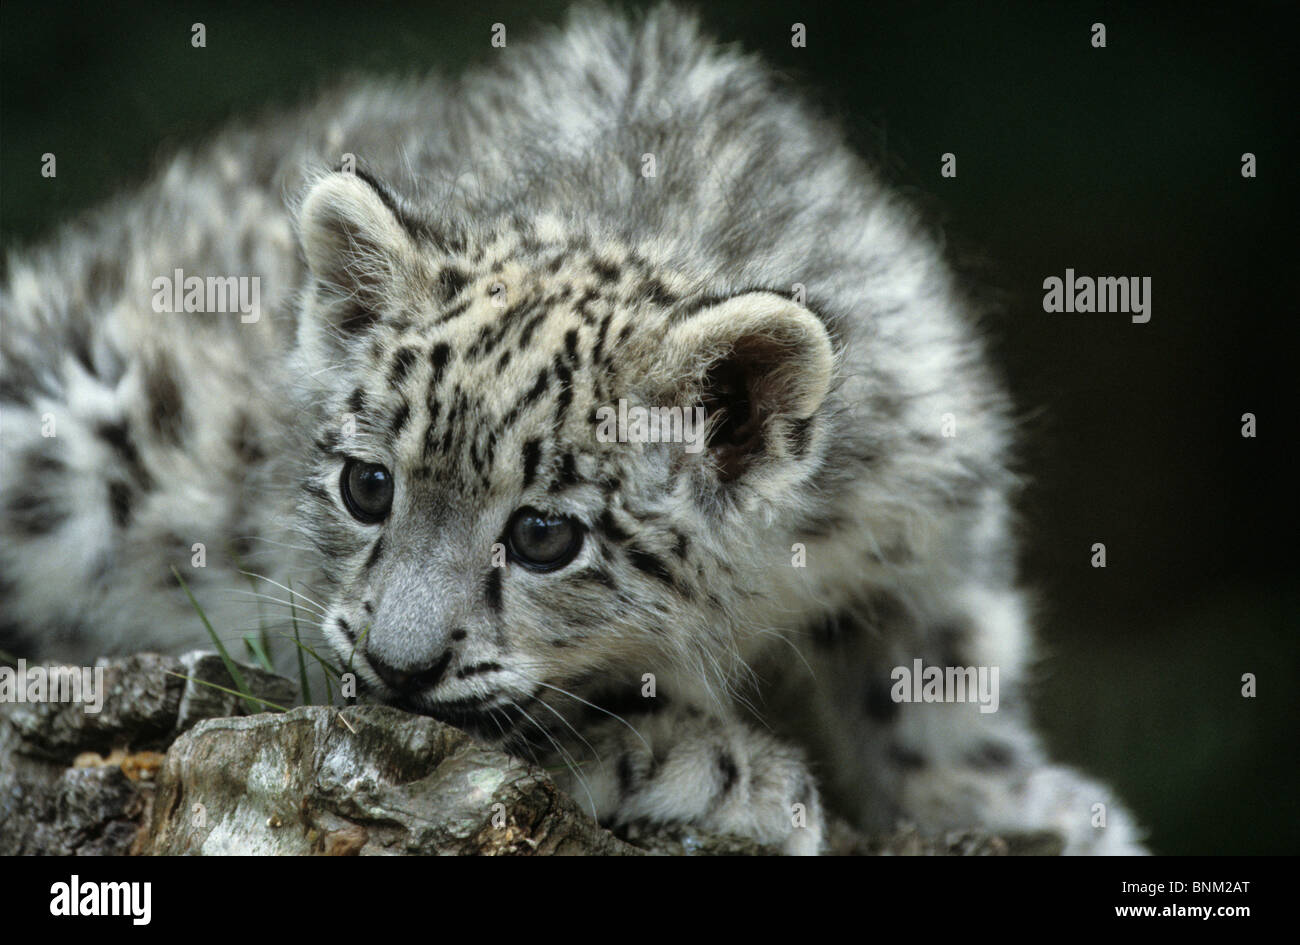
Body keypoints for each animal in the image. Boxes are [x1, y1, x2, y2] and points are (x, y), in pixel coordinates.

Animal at [0, 3, 1144, 854]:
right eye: (368, 485)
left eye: (545, 534)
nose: (398, 665)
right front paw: (713, 765)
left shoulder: (931, 491)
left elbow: (944, 655)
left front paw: (1012, 804)